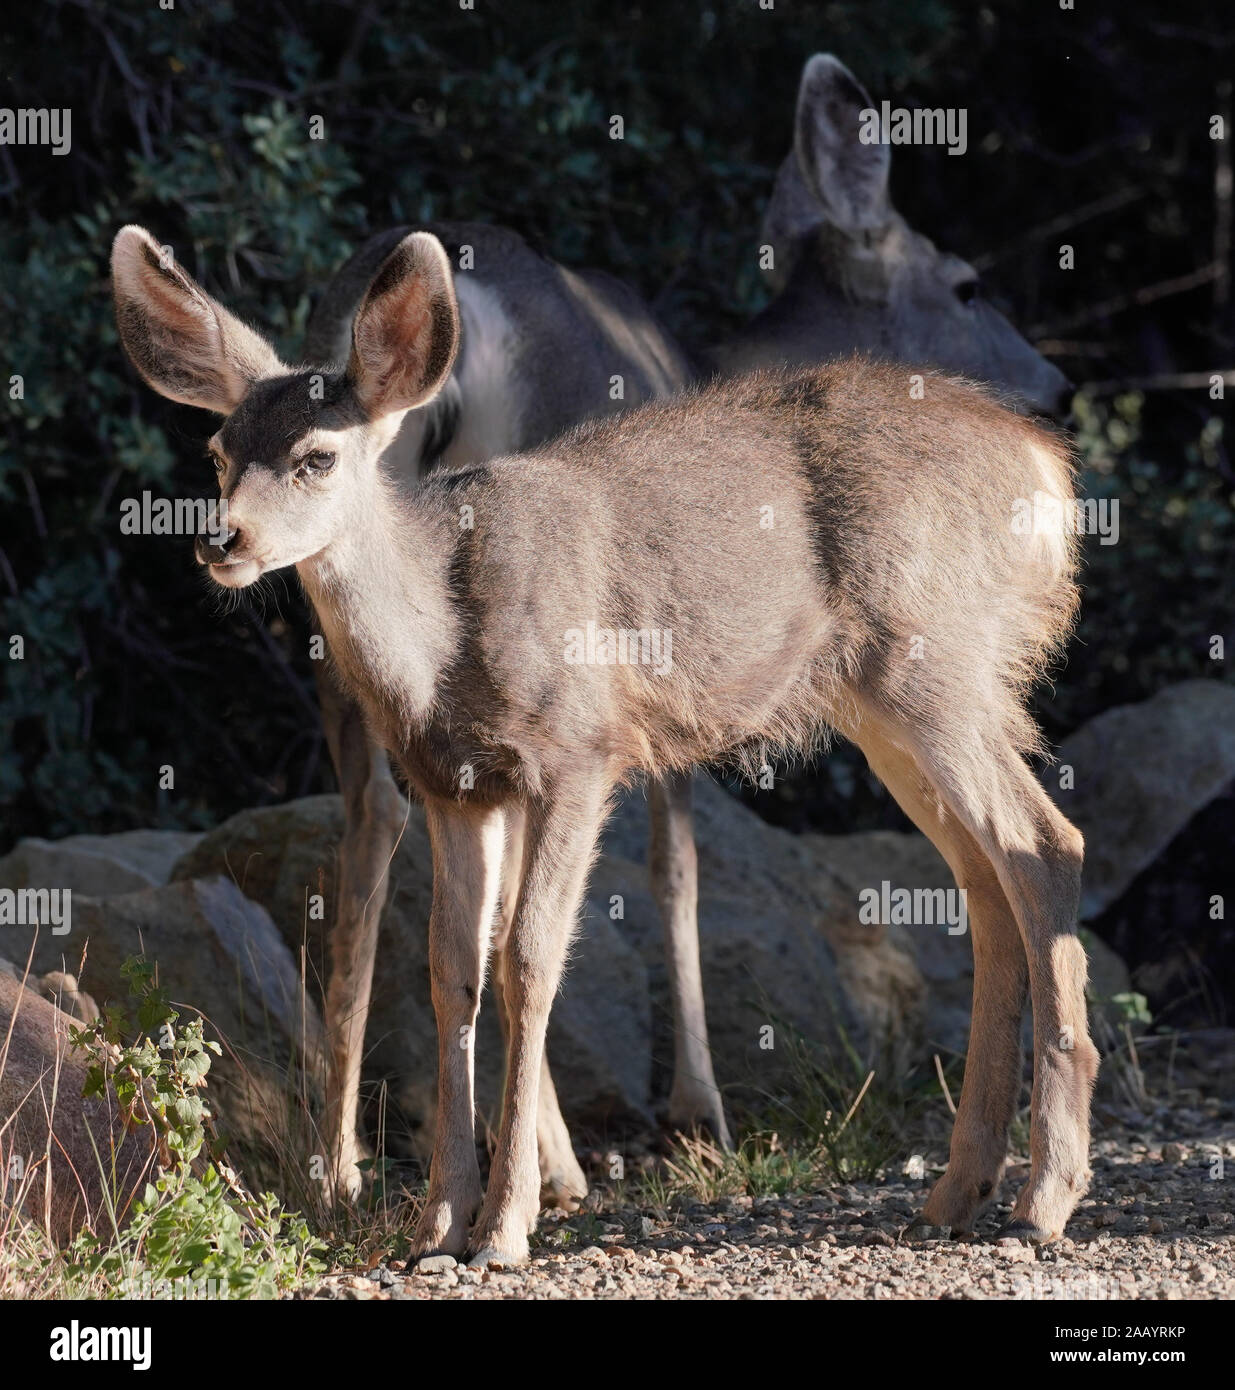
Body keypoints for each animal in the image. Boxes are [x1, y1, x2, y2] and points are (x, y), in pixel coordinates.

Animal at [110, 217, 1096, 1266]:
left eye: (317, 457)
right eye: (218, 448)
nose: (222, 541)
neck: (446, 635)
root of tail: (1048, 471)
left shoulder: (580, 751)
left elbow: (533, 958)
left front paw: (504, 1225)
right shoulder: (456, 785)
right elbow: (452, 971)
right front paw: (439, 1220)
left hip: (937, 663)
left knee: (1045, 844)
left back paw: (1043, 1198)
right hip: (889, 704)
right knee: (987, 879)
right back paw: (958, 1192)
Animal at [286, 49, 1074, 1210]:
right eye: (965, 283)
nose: (1055, 385)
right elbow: (675, 863)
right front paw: (695, 1109)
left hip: (345, 621)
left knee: (373, 818)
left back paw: (342, 1164)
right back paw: (550, 1164)